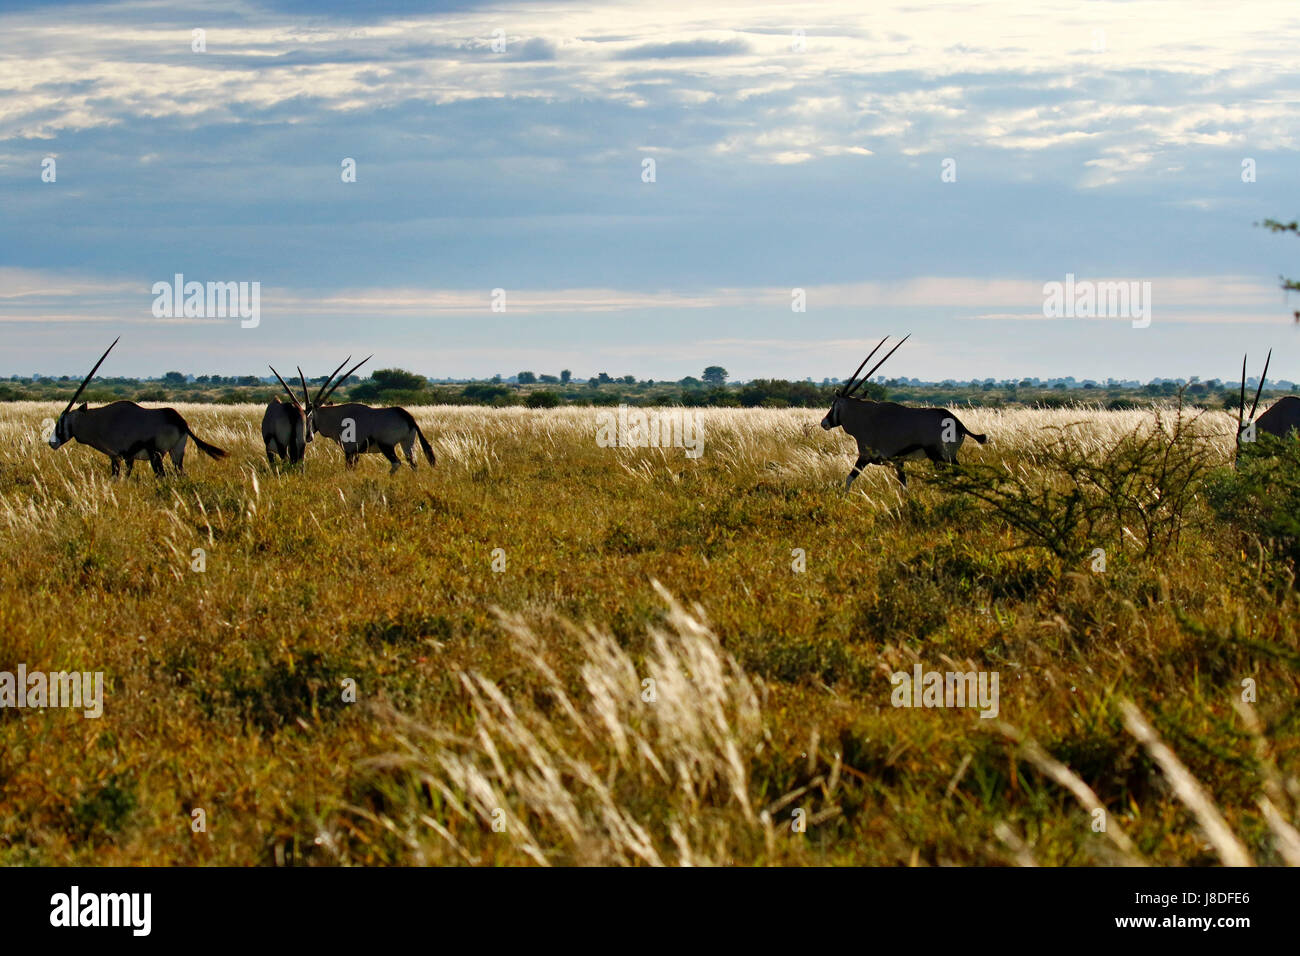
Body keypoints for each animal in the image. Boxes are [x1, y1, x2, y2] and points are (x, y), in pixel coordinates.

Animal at [47, 338, 228, 476]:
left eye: (61, 422)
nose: (52, 442)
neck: (99, 420)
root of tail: (180, 422)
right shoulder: (127, 457)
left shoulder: (119, 456)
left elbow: (118, 475)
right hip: (176, 453)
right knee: (180, 473)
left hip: (157, 456)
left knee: (162, 475)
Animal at [821, 334, 987, 489]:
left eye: (834, 404)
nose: (824, 423)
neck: (865, 416)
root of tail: (957, 423)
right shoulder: (898, 462)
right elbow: (903, 486)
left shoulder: (865, 457)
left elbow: (849, 479)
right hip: (948, 457)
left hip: (940, 456)